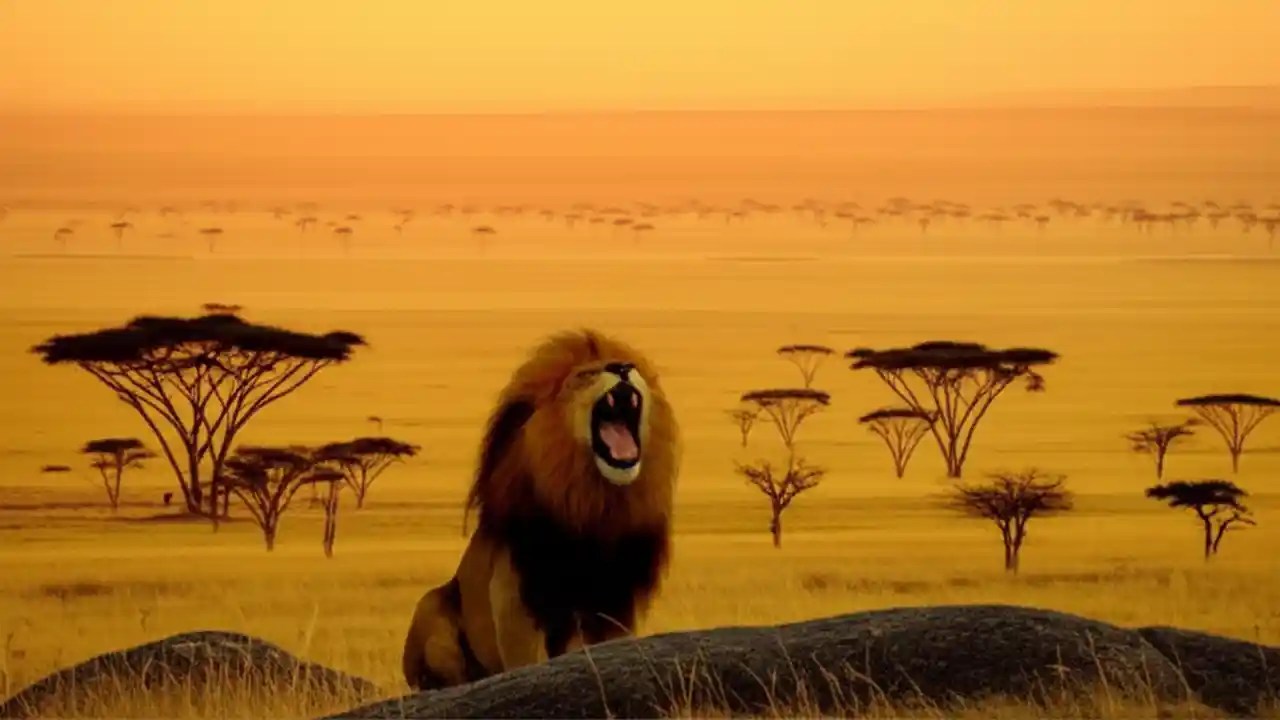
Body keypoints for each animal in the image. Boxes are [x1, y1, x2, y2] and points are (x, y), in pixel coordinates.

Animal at [401, 328, 681, 689]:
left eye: (632, 367)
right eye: (584, 375)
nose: (622, 368)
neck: (595, 505)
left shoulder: (615, 604)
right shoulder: (517, 599)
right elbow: (527, 661)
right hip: (430, 607)